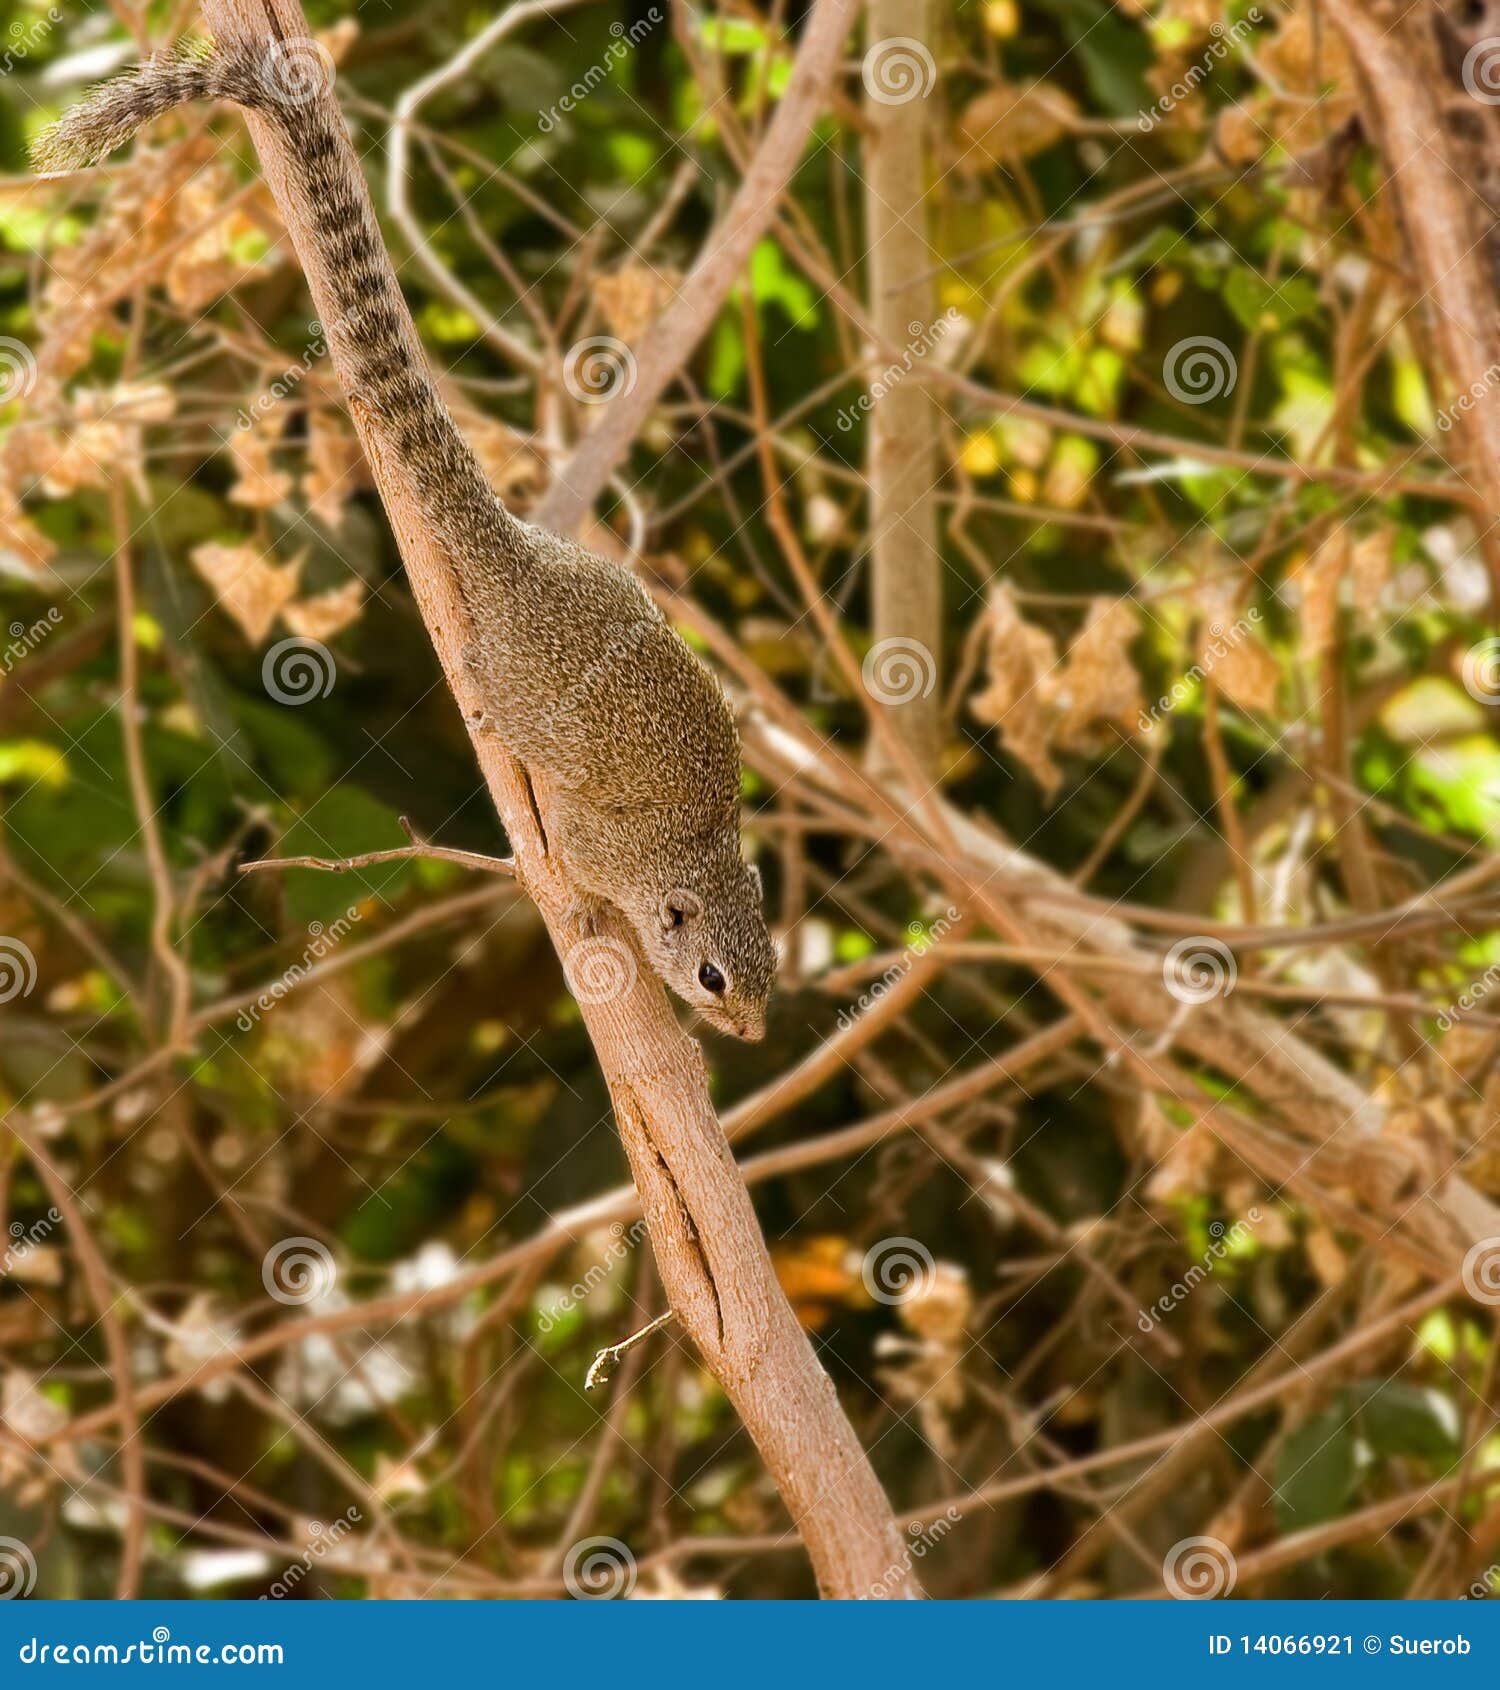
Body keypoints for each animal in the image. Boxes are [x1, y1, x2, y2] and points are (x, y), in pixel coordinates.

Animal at [34, 39, 777, 1040]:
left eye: (769, 971)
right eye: (711, 977)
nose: (753, 1032)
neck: (690, 855)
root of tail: (520, 560)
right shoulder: (602, 847)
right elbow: (582, 874)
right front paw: (593, 914)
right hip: (521, 689)